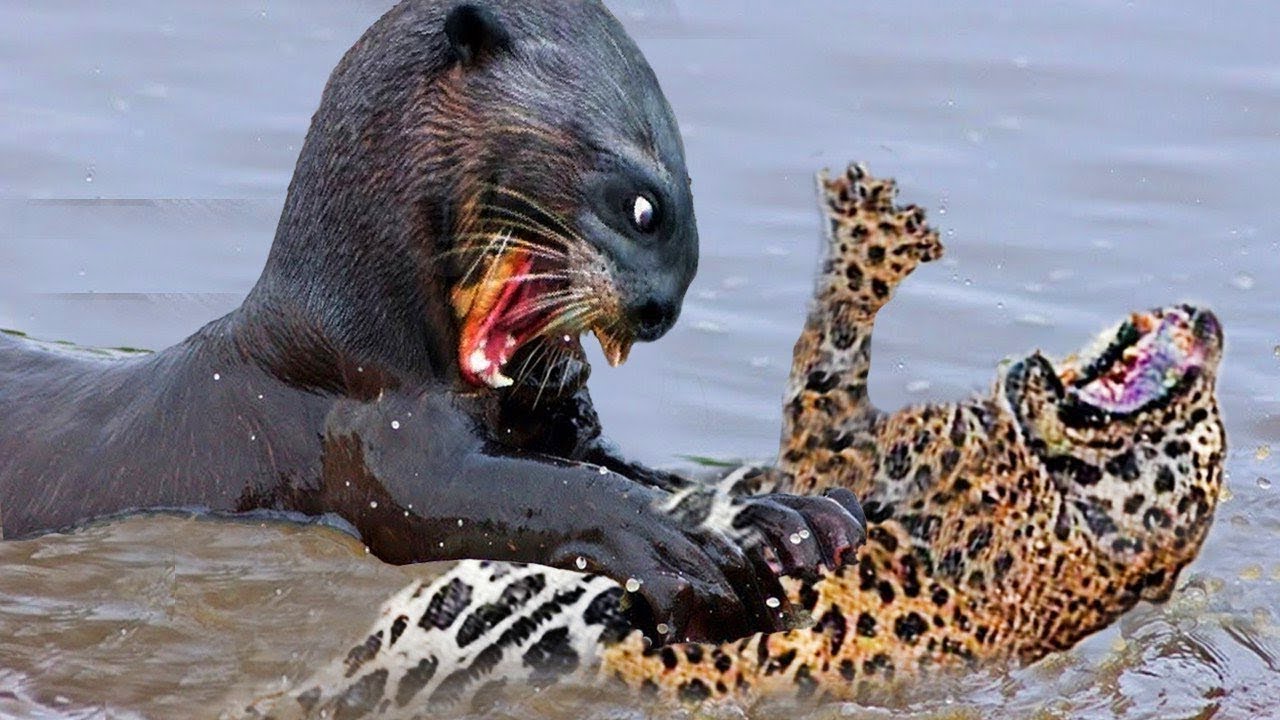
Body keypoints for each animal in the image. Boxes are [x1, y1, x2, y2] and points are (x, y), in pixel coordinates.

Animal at [0, 0, 865, 645]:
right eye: (644, 206)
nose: (662, 308)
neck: (350, 349)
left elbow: (630, 467)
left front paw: (794, 517)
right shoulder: (379, 447)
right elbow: (516, 494)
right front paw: (672, 546)